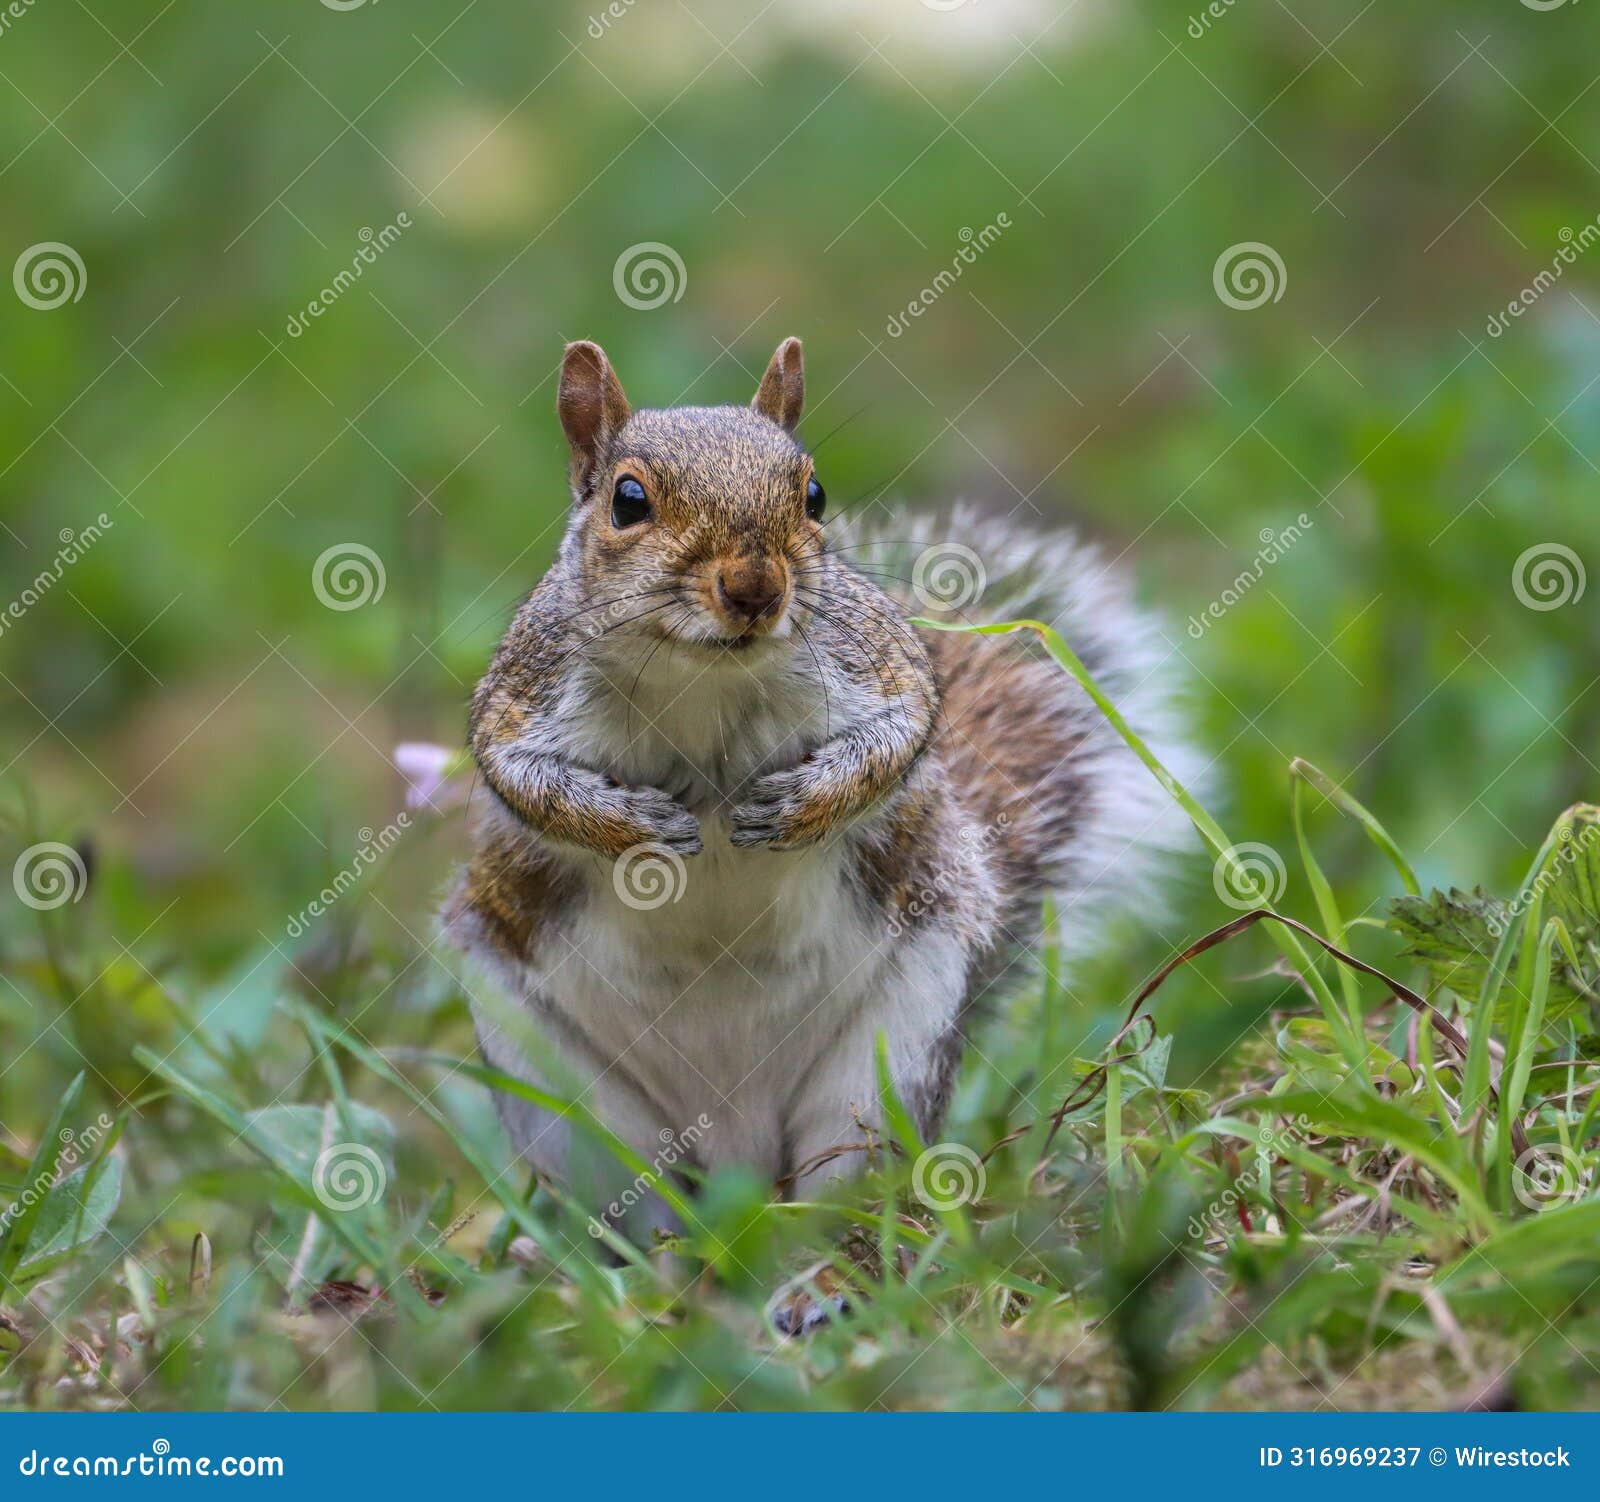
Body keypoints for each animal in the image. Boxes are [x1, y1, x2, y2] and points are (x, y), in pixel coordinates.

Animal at [441, 336, 1200, 1232]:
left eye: (813, 494)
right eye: (628, 501)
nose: (754, 588)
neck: (704, 676)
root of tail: (734, 1142)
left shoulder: (877, 658)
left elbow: (900, 732)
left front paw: (800, 807)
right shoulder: (525, 688)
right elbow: (524, 779)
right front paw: (635, 824)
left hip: (888, 1053)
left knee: (844, 1175)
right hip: (562, 1090)